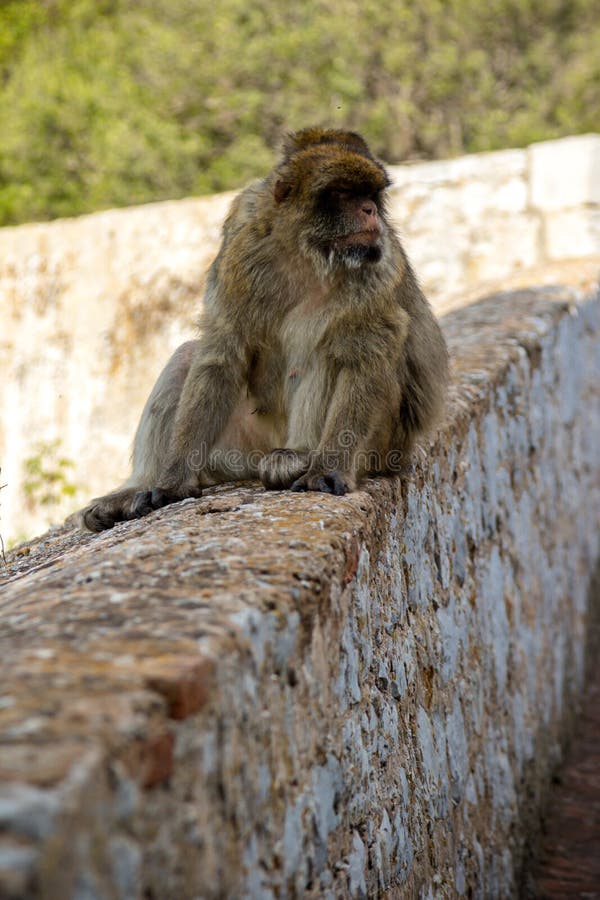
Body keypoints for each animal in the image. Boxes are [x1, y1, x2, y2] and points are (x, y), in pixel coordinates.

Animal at [79, 127, 448, 532]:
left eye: (369, 195)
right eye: (342, 194)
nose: (369, 211)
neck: (304, 254)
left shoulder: (374, 268)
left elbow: (365, 356)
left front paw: (330, 469)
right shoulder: (241, 257)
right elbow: (222, 353)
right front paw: (173, 479)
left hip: (379, 446)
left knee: (329, 354)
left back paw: (299, 456)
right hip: (241, 447)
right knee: (189, 356)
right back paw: (137, 488)